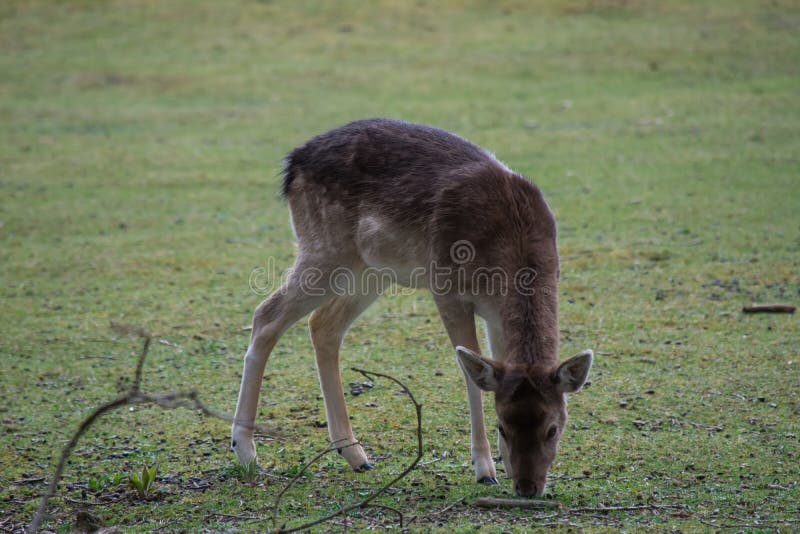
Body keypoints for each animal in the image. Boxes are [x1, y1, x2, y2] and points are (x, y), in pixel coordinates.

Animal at [231, 118, 593, 497]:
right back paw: (246, 451)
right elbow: (469, 374)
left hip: (370, 270)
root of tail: (293, 163)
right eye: (503, 426)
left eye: (553, 428)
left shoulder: (497, 316)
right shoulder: (446, 289)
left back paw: (355, 454)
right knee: (266, 315)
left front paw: (501, 467)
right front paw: (484, 469)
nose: (527, 487)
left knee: (323, 324)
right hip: (324, 249)